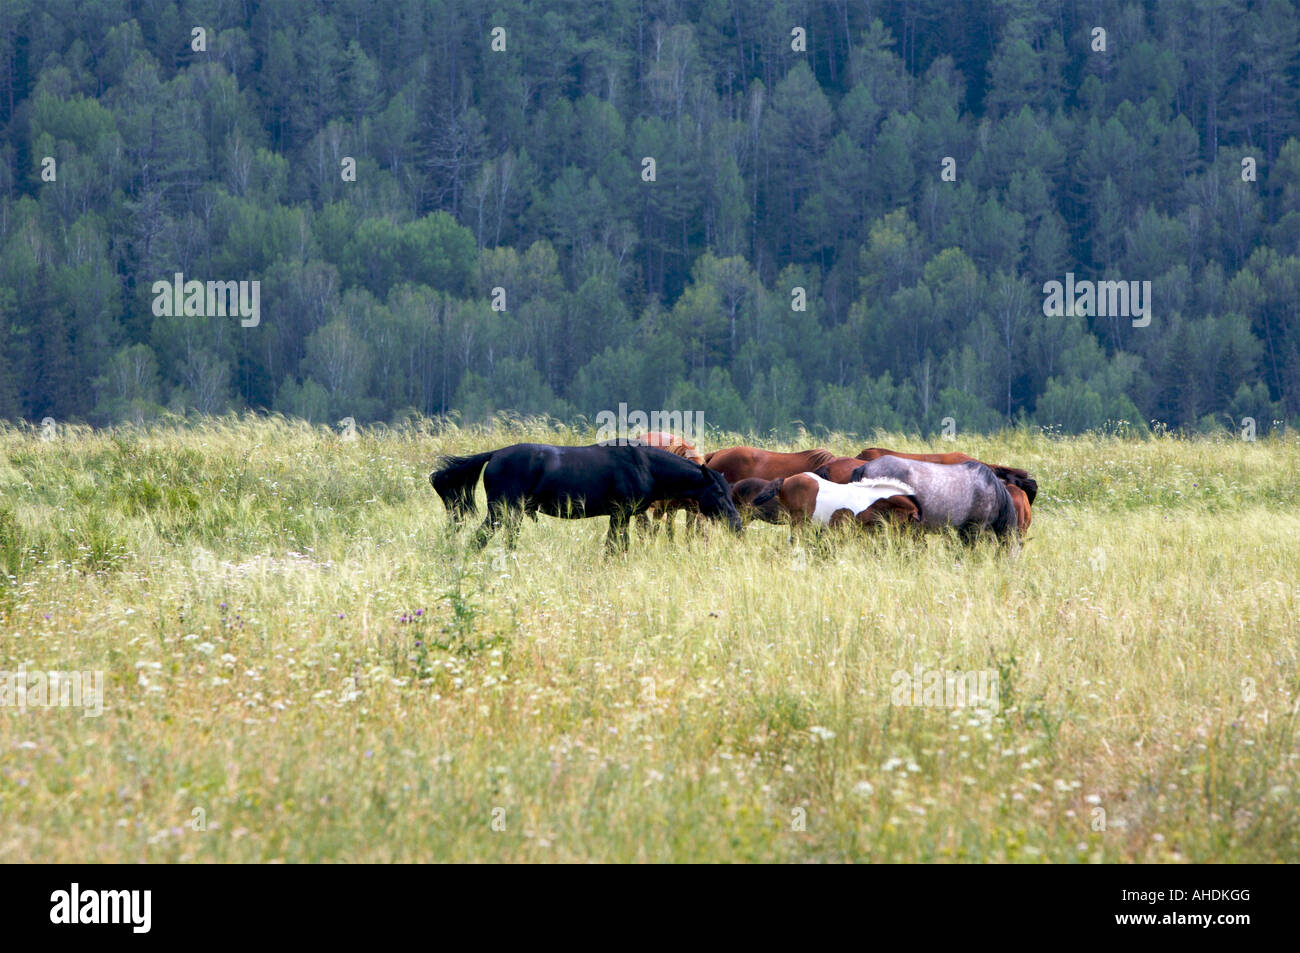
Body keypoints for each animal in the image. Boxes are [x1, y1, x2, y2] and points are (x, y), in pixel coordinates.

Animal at [430, 442, 742, 552]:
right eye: (717, 492)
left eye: (729, 492)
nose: (737, 524)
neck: (645, 465)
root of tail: (495, 455)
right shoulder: (620, 514)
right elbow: (615, 546)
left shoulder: (620, 517)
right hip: (501, 511)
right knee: (481, 539)